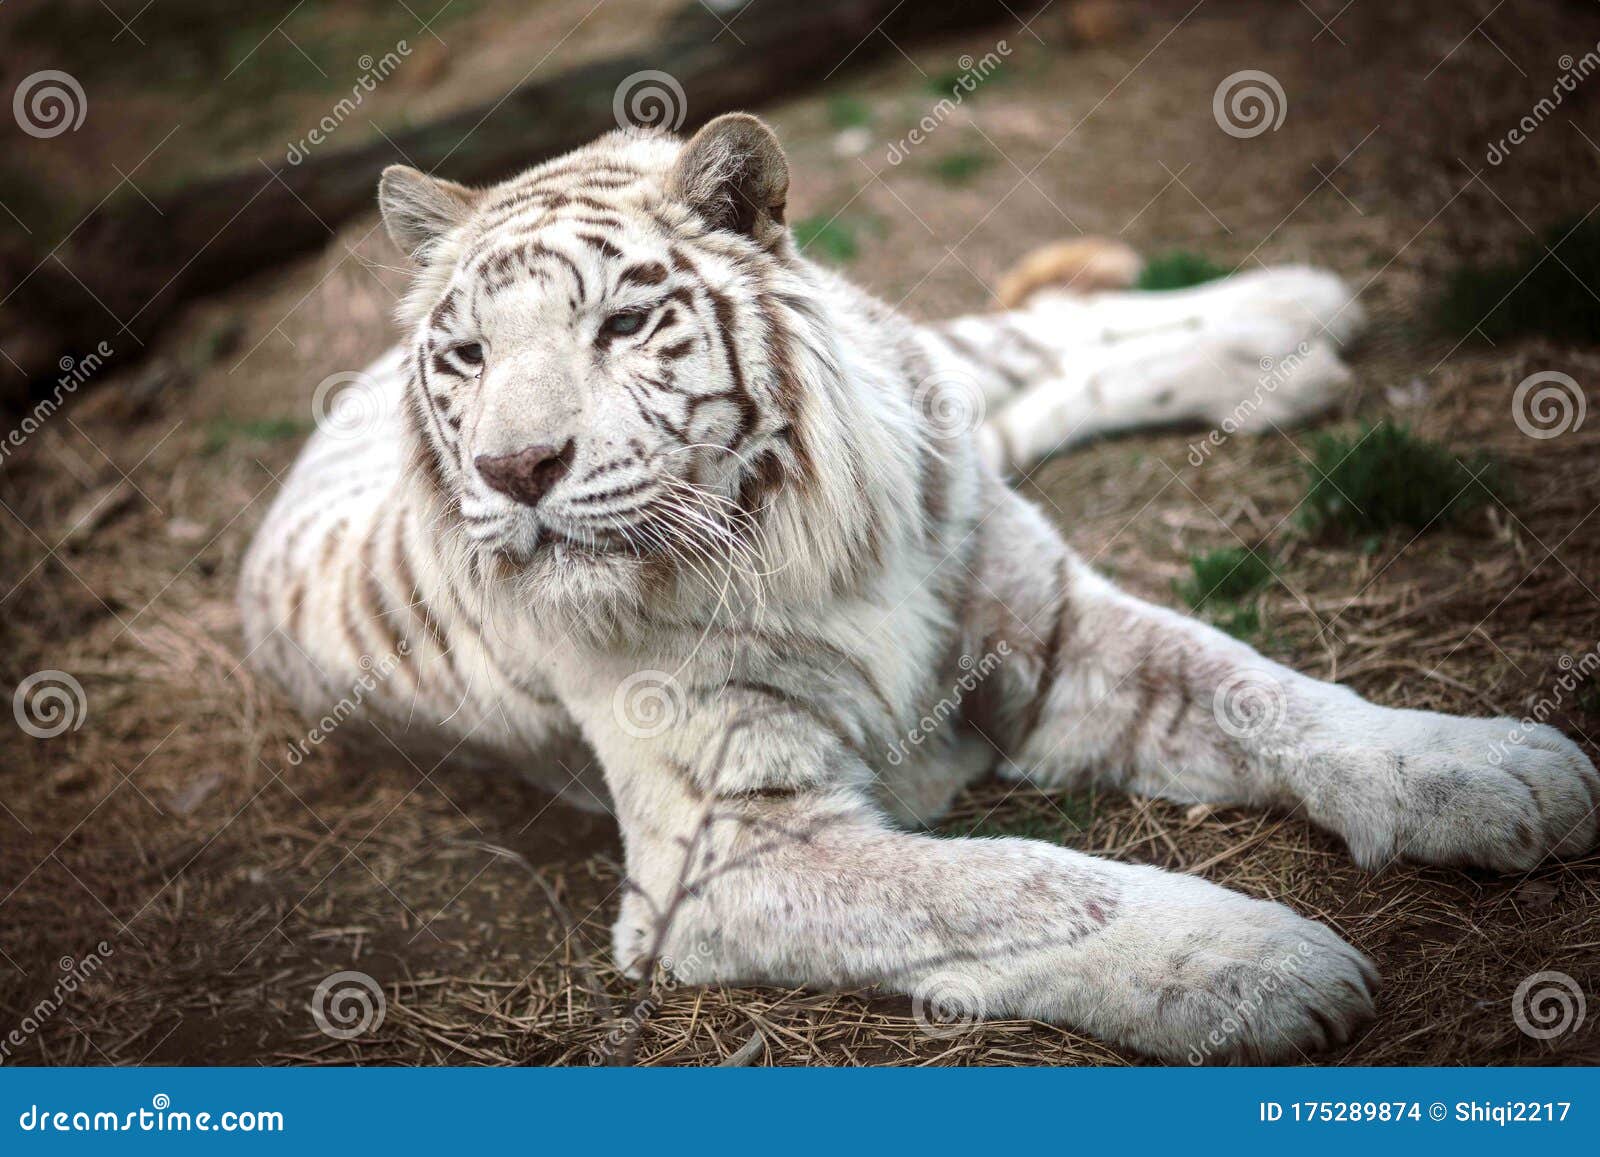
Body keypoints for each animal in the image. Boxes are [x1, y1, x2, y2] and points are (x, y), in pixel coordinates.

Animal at [239, 114, 1599, 1064]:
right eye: (468, 355)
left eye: (623, 323)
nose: (513, 468)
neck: (802, 535)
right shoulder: (727, 848)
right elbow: (1021, 881)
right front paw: (1251, 962)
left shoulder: (1054, 626)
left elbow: (1263, 688)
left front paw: (1486, 767)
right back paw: (1292, 355)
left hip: (960, 385)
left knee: (1043, 337)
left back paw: (1287, 310)